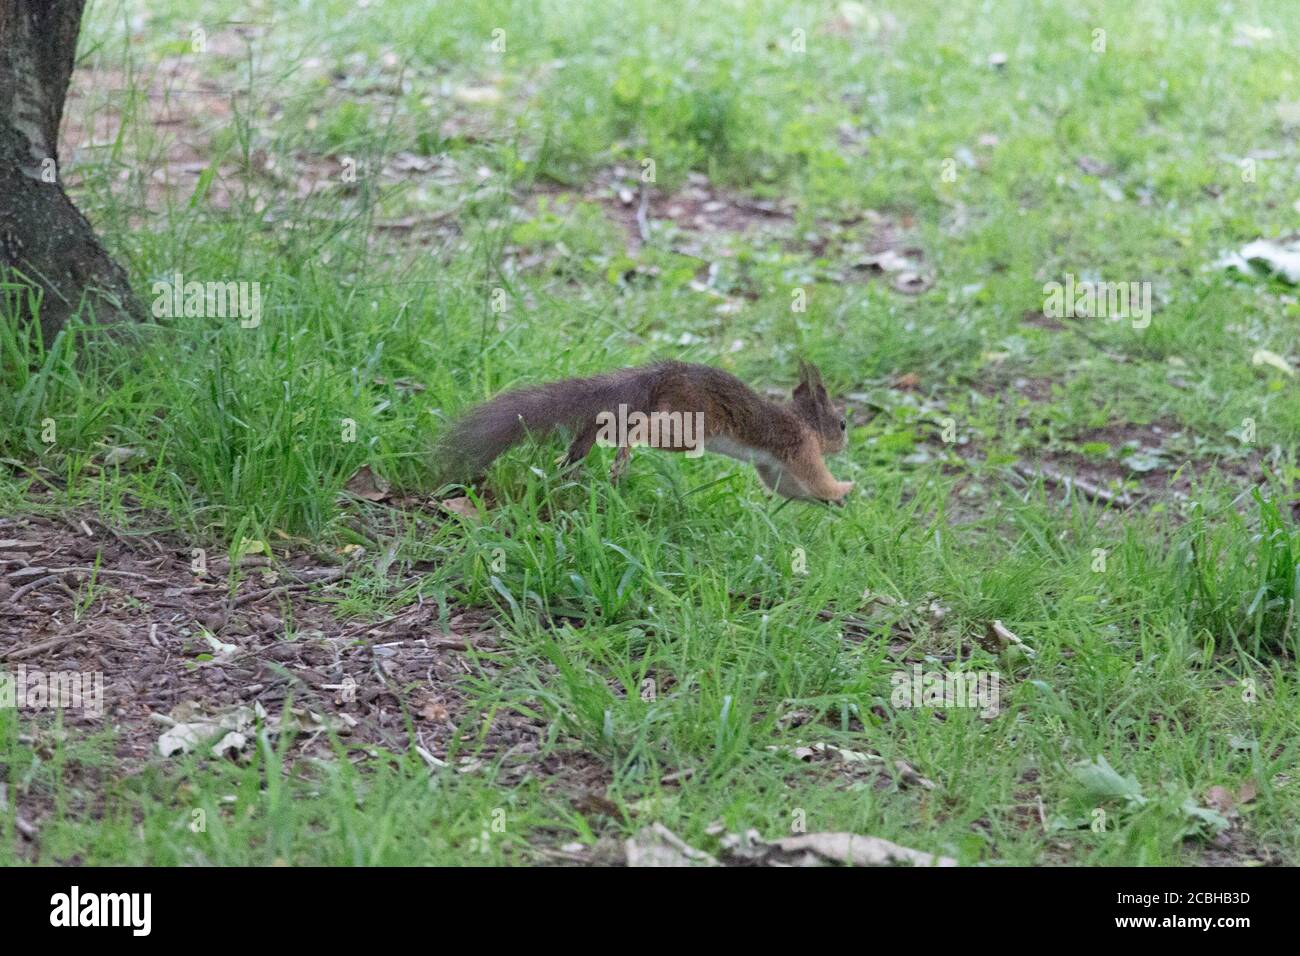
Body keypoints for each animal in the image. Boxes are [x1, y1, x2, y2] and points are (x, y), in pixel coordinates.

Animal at [438, 360, 853, 503]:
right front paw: (844, 489)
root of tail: (665, 375)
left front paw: (832, 501)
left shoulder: (772, 466)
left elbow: (787, 487)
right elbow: (815, 477)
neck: (804, 422)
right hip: (689, 427)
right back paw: (619, 458)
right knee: (637, 429)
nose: (845, 441)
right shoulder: (800, 447)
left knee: (605, 423)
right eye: (843, 423)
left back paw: (572, 457)